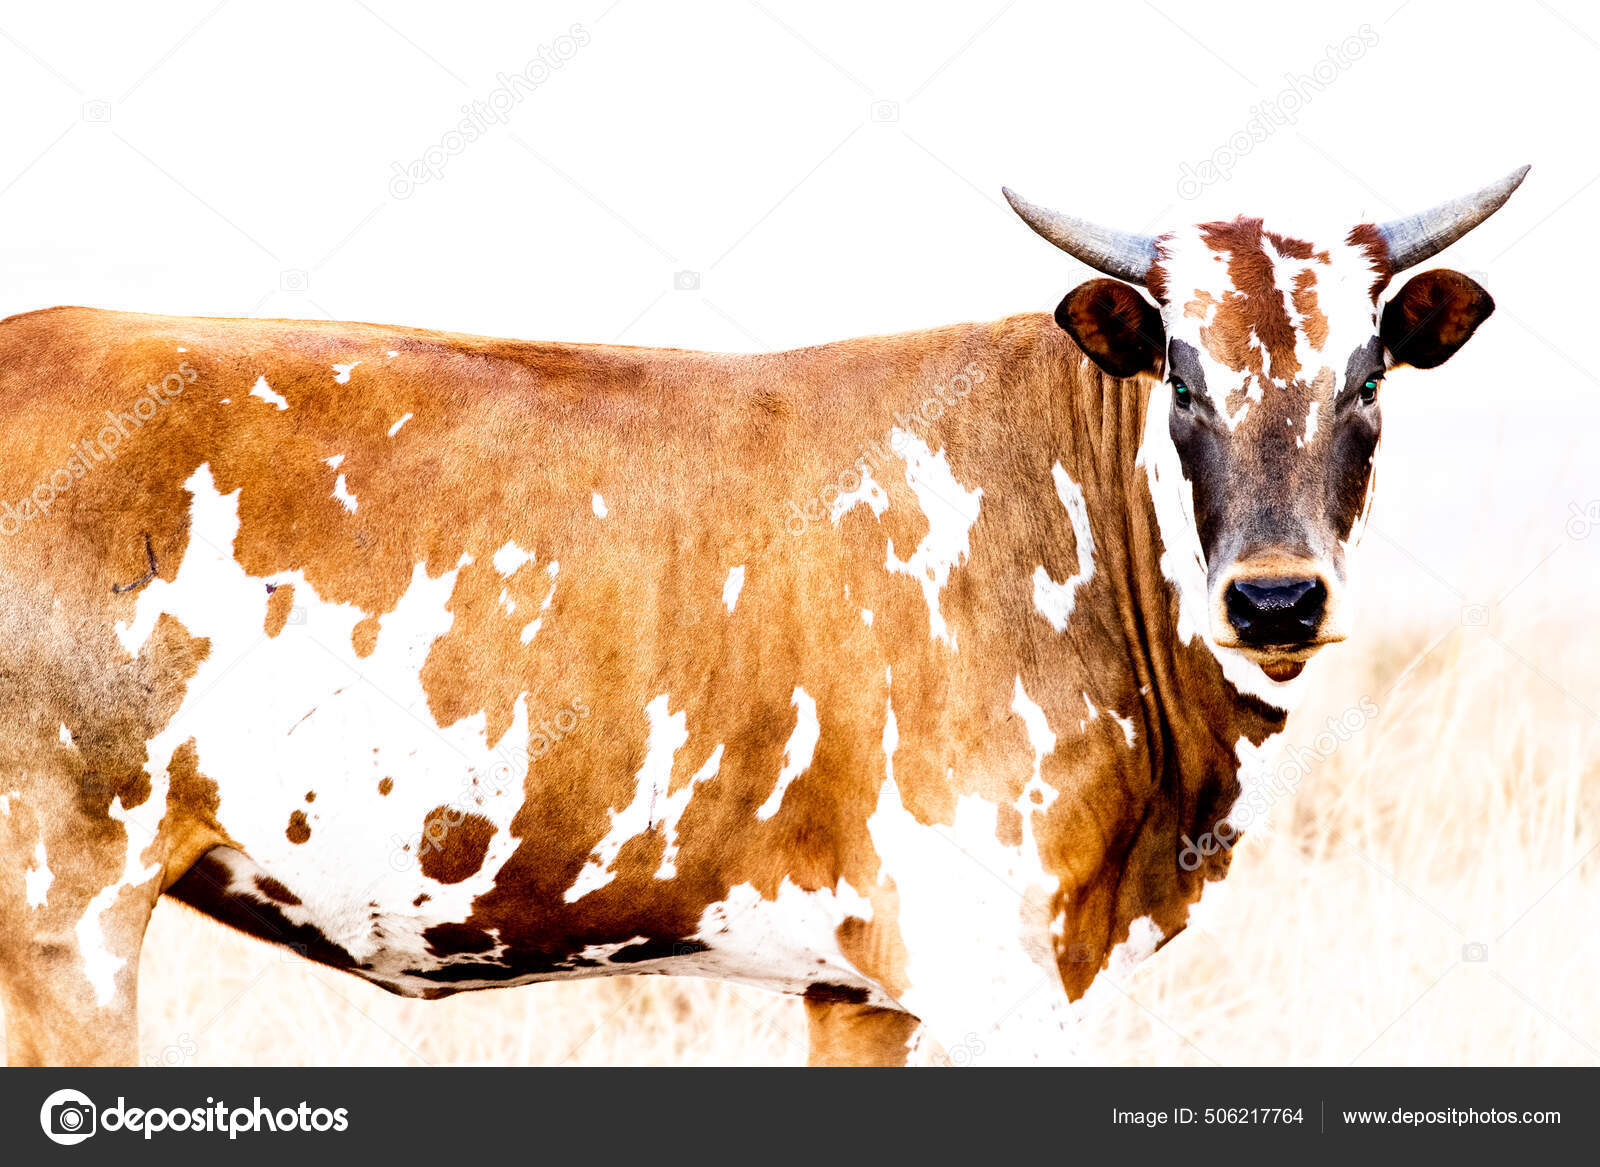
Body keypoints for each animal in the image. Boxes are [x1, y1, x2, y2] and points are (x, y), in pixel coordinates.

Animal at [0, 167, 1525, 1066]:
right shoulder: (992, 966)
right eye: (1185, 376)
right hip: (67, 916)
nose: (1275, 594)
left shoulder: (865, 988)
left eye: (1369, 374)